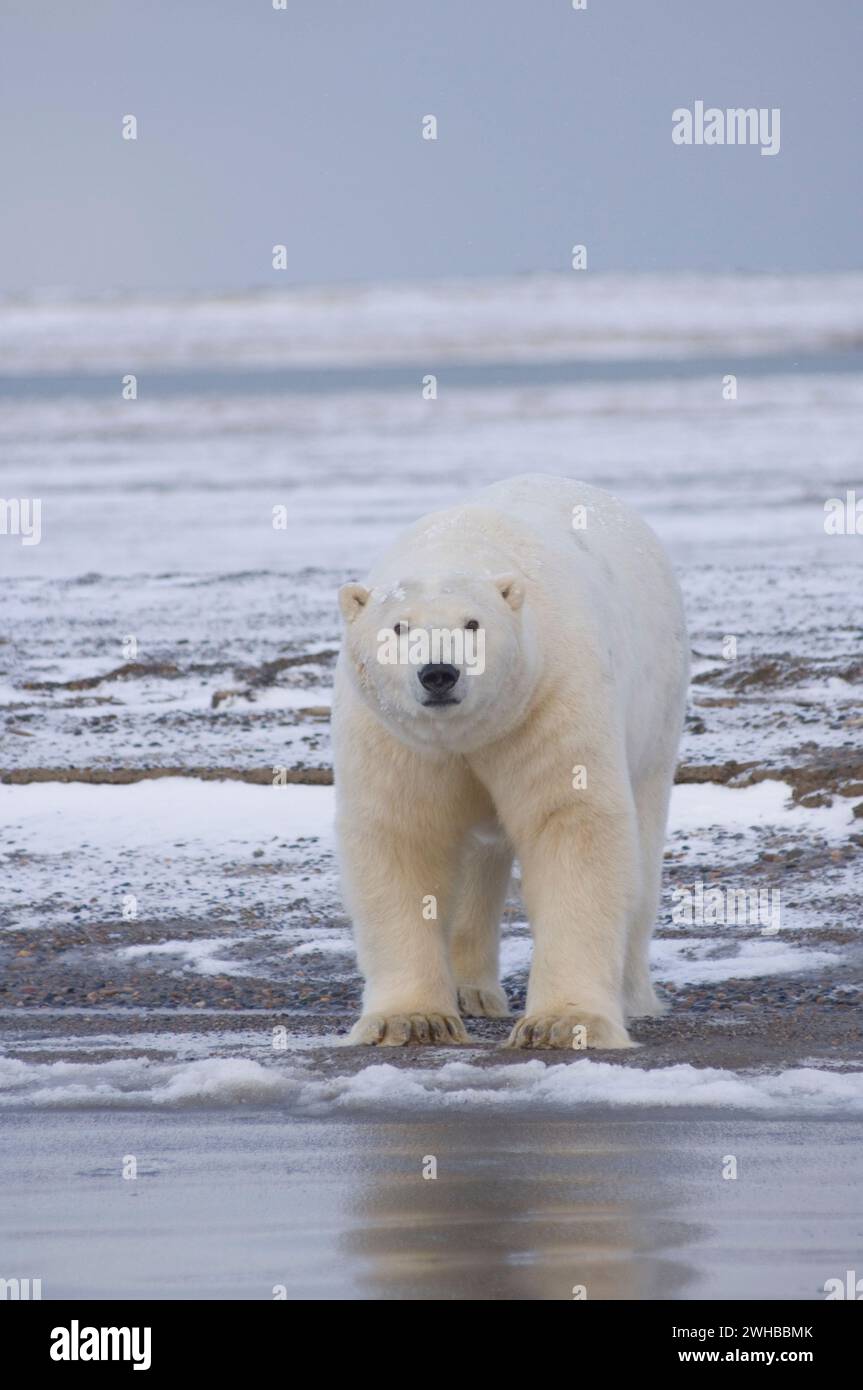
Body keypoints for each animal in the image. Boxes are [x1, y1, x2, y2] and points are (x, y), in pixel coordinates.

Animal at [332, 473, 689, 1049]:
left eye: (473, 623)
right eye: (399, 628)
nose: (438, 673)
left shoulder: (550, 697)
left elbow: (572, 822)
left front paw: (564, 1024)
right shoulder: (394, 737)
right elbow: (403, 834)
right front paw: (412, 1019)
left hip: (657, 714)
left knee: (642, 849)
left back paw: (633, 995)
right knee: (478, 857)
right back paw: (470, 990)